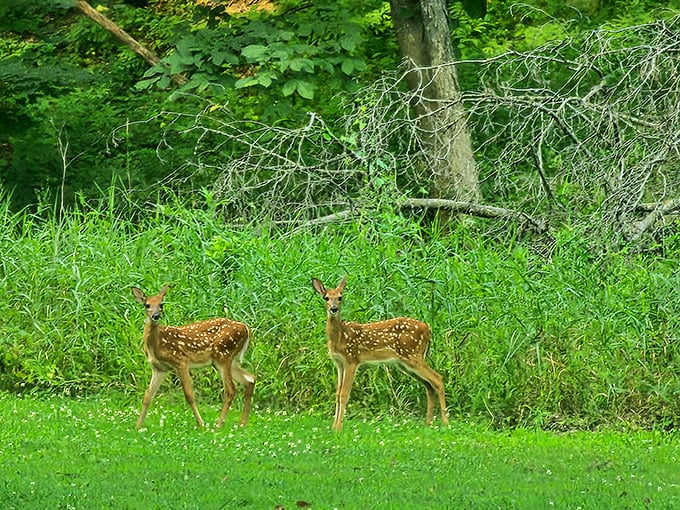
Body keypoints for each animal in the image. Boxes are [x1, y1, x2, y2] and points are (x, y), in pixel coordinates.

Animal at [131, 285, 255, 429]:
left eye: (161, 304)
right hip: (228, 360)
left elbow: (189, 395)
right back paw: (243, 423)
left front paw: (201, 423)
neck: (156, 344)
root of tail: (246, 329)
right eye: (147, 305)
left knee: (231, 389)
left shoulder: (180, 360)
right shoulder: (159, 368)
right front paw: (137, 426)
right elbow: (148, 396)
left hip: (223, 355)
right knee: (250, 379)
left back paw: (219, 424)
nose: (156, 316)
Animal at [312, 276, 449, 431]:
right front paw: (334, 427)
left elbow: (344, 394)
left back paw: (445, 422)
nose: (333, 308)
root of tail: (428, 330)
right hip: (406, 363)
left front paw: (338, 428)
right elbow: (337, 393)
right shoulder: (339, 363)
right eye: (326, 298)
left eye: (340, 297)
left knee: (437, 378)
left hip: (412, 355)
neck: (341, 336)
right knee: (429, 385)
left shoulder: (352, 359)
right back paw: (428, 422)